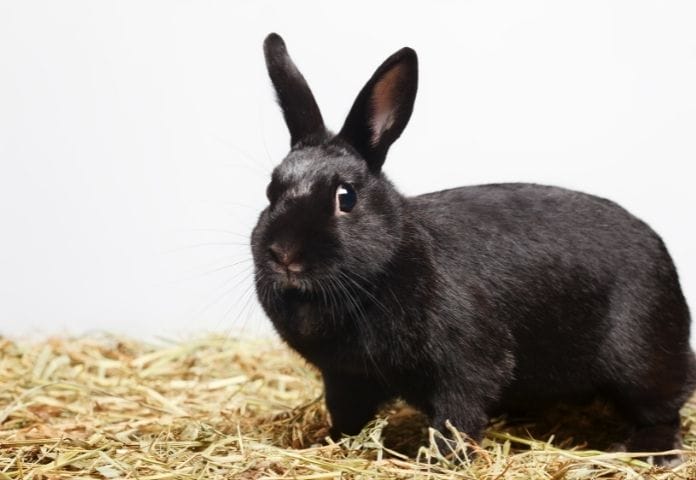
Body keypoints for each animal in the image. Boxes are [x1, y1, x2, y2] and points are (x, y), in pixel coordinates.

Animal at [251, 33, 696, 466]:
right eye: (271, 191)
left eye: (346, 197)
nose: (284, 254)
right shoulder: (346, 377)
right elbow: (347, 417)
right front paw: (327, 444)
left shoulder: (465, 368)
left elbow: (457, 417)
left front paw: (441, 462)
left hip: (639, 361)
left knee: (663, 409)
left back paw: (647, 453)